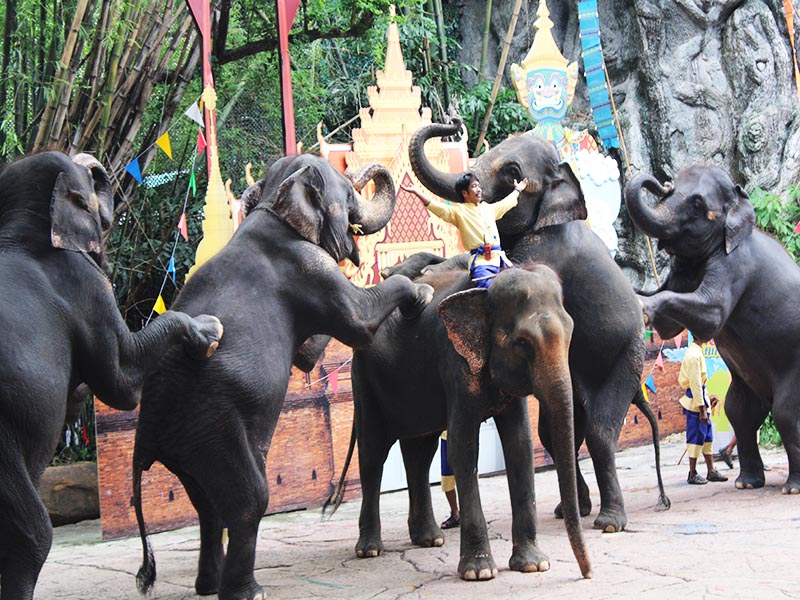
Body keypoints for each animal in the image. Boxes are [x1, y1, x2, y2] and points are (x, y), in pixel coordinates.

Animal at [132, 153, 434, 600]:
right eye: (347, 194)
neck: (274, 200)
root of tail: (146, 437)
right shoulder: (308, 268)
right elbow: (356, 322)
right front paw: (421, 291)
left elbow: (309, 354)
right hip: (214, 427)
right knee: (249, 499)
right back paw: (248, 592)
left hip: (189, 446)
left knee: (205, 505)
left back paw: (208, 585)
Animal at [349, 263, 592, 581]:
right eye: (522, 343)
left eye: (572, 333)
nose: (587, 574)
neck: (486, 289)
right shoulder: (454, 361)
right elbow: (462, 447)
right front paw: (480, 572)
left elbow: (520, 445)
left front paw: (533, 565)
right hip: (364, 380)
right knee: (372, 453)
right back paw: (369, 550)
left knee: (419, 453)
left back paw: (429, 539)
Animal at [407, 119, 669, 532]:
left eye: (513, 173)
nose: (455, 122)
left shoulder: (547, 250)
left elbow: (506, 271)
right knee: (556, 430)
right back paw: (571, 509)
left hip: (630, 353)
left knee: (599, 431)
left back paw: (608, 521)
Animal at [624, 165, 800, 494]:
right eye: (672, 186)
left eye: (697, 204)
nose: (661, 182)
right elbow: (670, 327)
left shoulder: (736, 264)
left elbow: (711, 313)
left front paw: (641, 307)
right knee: (739, 411)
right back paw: (746, 484)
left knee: (786, 413)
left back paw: (791, 488)